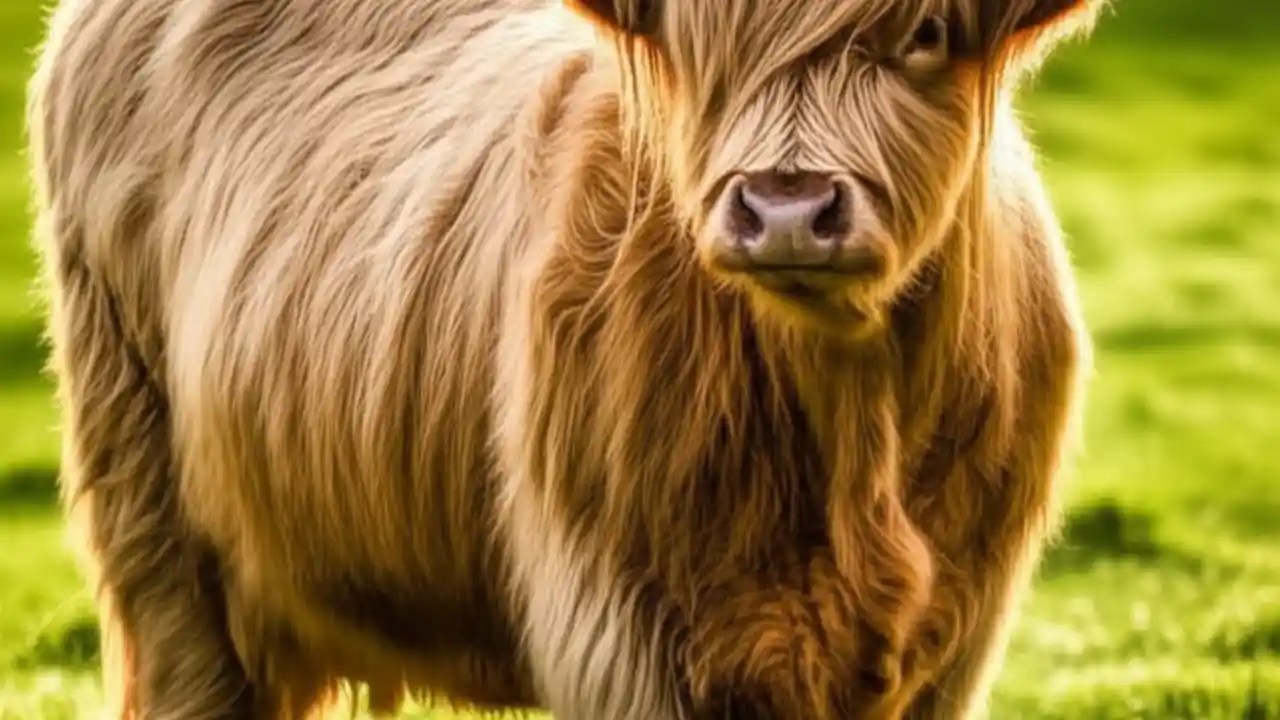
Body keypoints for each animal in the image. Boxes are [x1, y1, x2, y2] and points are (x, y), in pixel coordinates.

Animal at [27, 0, 1098, 717]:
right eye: (699, 46)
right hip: (151, 501)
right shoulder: (620, 627)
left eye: (926, 29)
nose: (786, 206)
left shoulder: (950, 640)